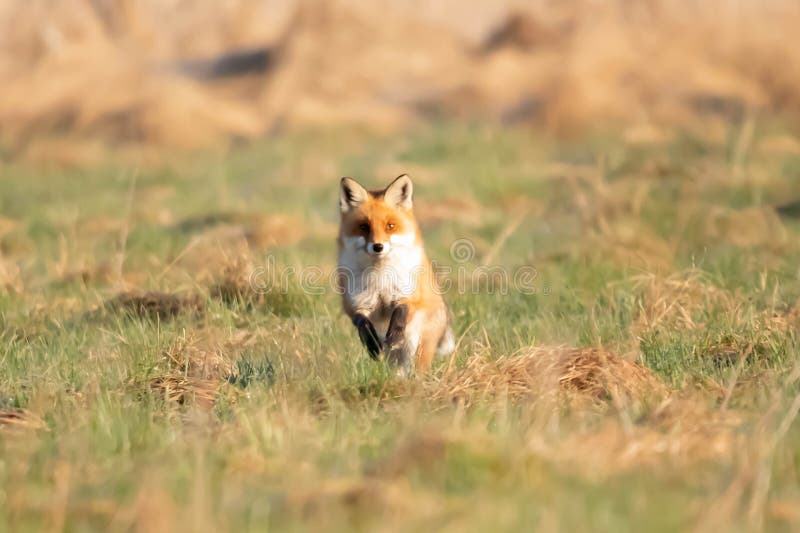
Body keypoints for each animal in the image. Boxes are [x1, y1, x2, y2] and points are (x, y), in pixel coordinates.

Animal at [337, 174, 455, 373]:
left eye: (390, 226)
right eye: (364, 227)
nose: (378, 246)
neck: (381, 276)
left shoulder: (408, 296)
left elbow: (400, 313)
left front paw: (394, 337)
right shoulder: (356, 303)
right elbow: (363, 323)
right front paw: (372, 345)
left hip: (418, 347)